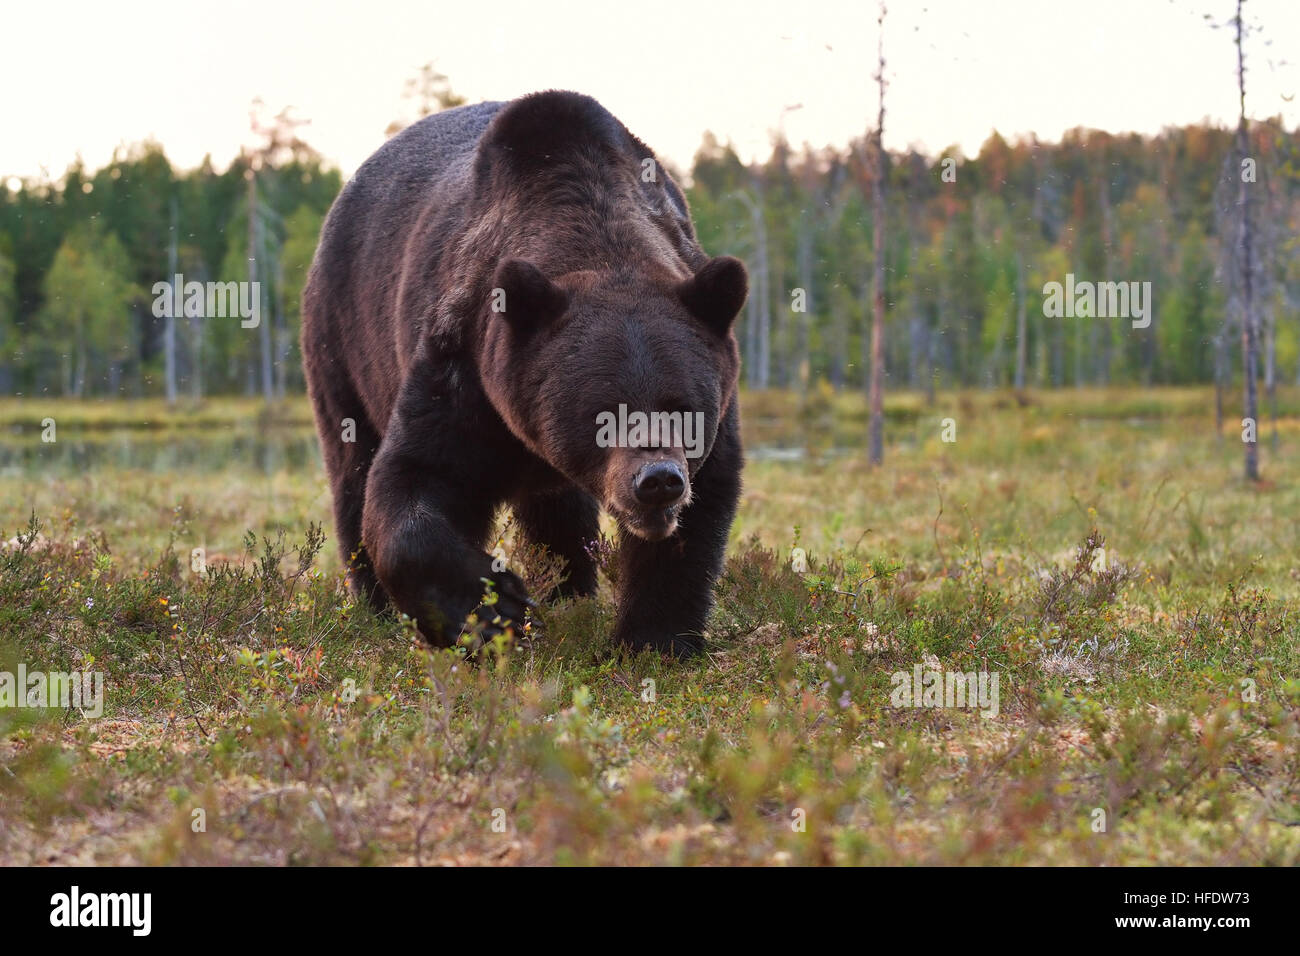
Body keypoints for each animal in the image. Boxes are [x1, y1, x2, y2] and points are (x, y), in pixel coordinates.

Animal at [300, 90, 747, 656]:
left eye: (682, 409)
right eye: (604, 415)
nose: (658, 481)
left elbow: (701, 507)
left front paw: (654, 638)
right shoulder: (463, 360)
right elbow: (413, 478)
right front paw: (495, 610)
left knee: (559, 513)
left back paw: (570, 590)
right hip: (340, 337)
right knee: (352, 465)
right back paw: (374, 604)